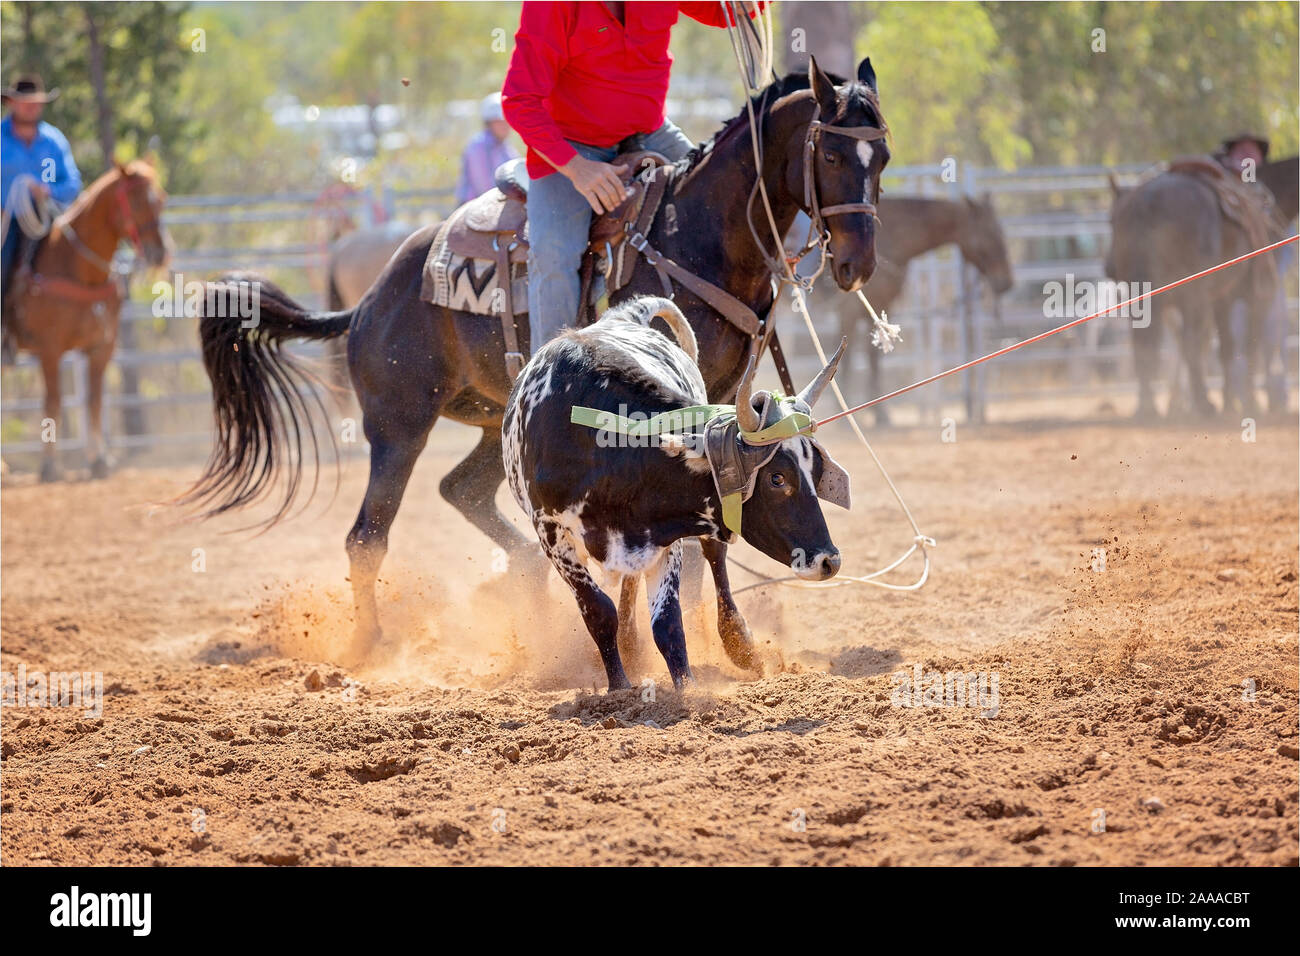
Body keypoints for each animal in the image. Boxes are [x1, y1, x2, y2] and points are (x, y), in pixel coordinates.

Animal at [502, 295, 852, 691]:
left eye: (817, 470)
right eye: (777, 478)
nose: (829, 560)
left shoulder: (664, 531)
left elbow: (668, 622)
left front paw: (687, 688)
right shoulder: (551, 532)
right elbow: (598, 611)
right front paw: (619, 686)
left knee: (711, 556)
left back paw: (738, 644)